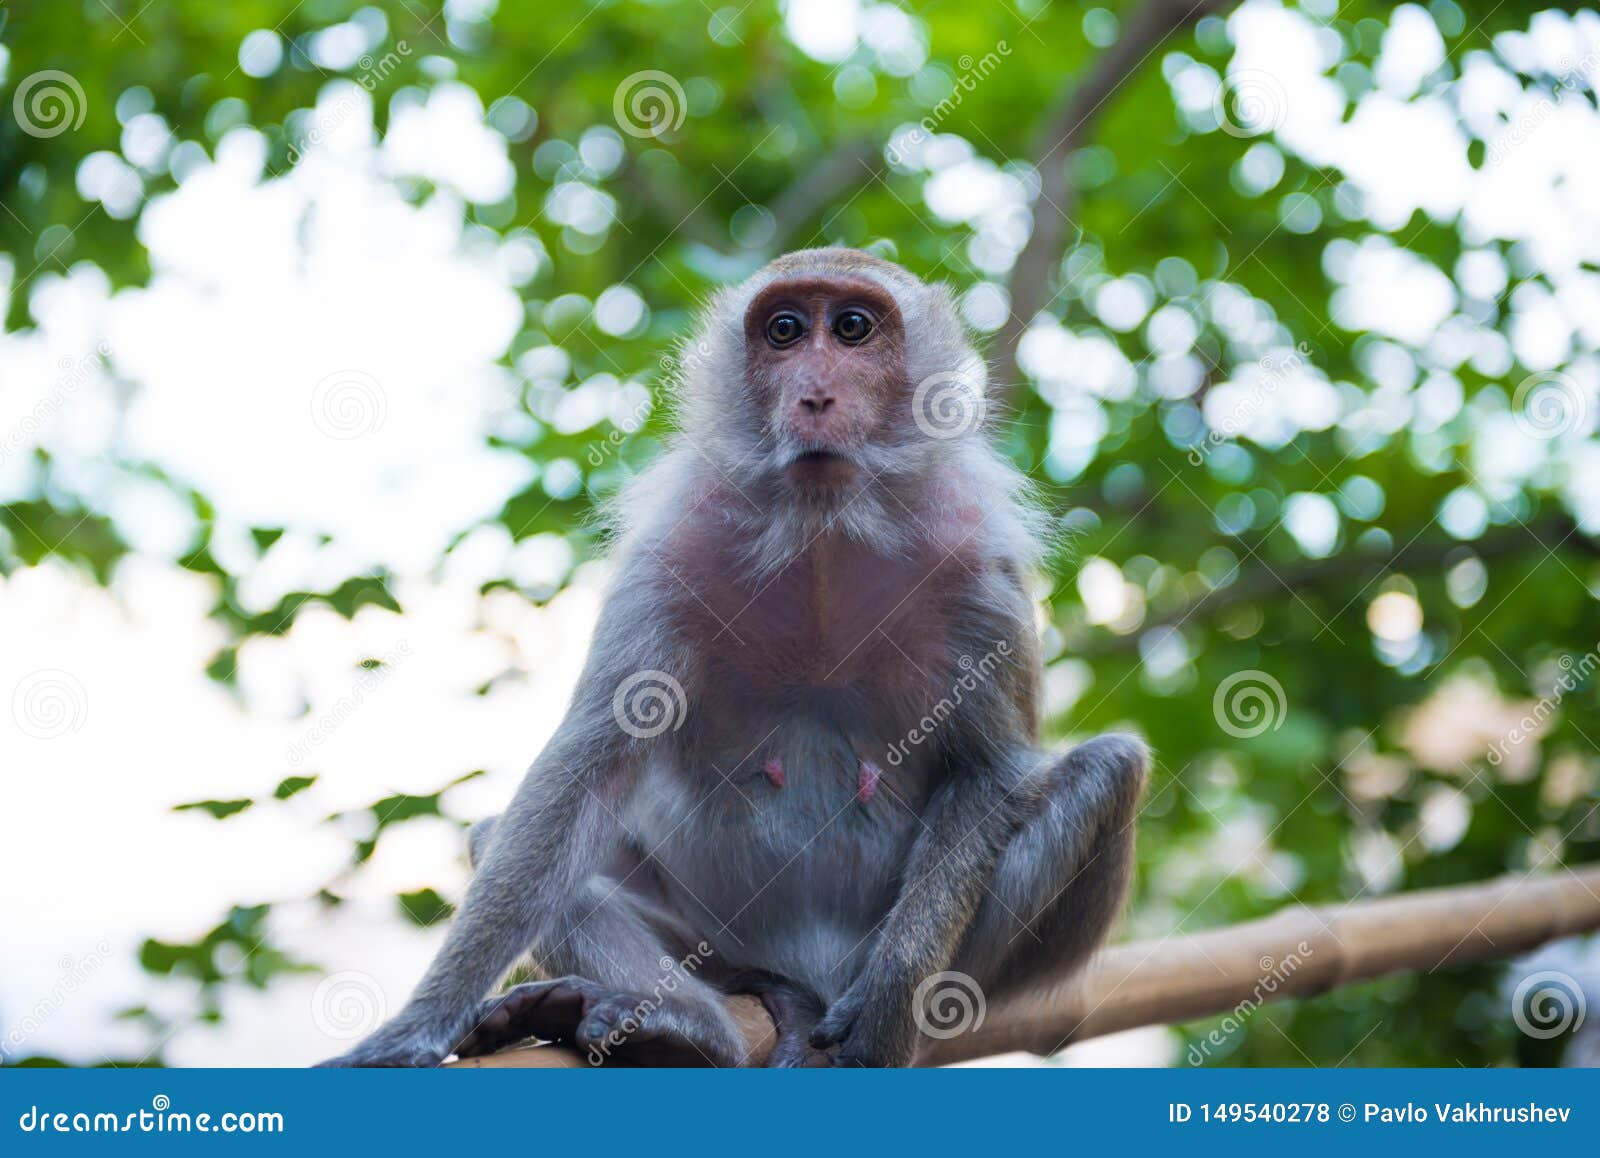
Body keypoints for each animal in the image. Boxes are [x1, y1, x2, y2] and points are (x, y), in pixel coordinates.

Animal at [316, 247, 1147, 1068]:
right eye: (784, 331)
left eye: (851, 328)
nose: (814, 396)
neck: (822, 529)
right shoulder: (668, 552)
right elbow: (584, 770)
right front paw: (417, 1025)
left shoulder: (980, 563)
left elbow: (985, 765)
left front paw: (895, 988)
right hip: (715, 947)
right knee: (510, 840)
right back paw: (684, 1028)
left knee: (1110, 768)